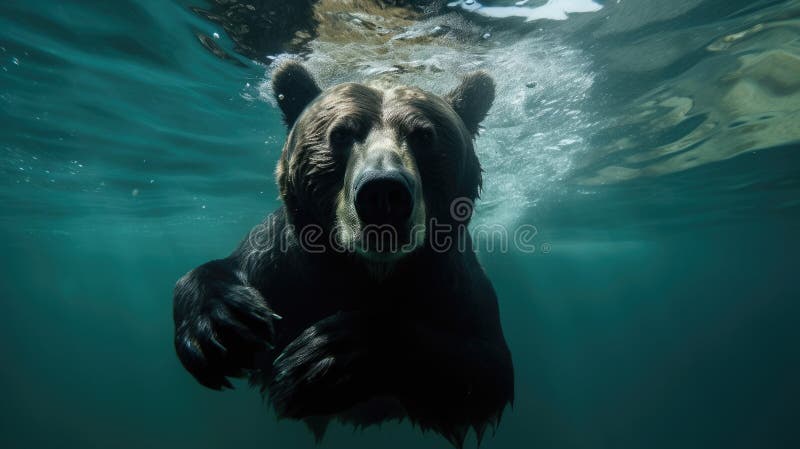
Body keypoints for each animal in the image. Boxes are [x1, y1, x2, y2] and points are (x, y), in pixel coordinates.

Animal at [172, 60, 514, 448]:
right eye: (341, 134)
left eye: (424, 136)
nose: (383, 193)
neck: (369, 272)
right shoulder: (283, 267)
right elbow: (227, 273)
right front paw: (223, 323)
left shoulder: (453, 286)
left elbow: (485, 370)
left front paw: (323, 356)